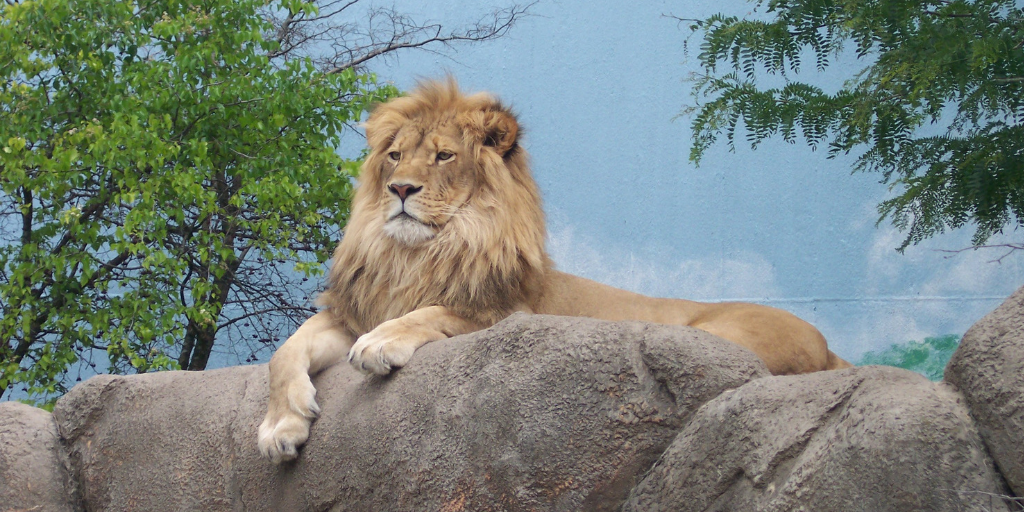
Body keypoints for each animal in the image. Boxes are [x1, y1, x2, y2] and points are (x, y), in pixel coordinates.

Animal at [257, 78, 851, 463]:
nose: (400, 189)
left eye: (445, 156)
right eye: (396, 156)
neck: (419, 254)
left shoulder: (501, 312)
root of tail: (828, 346)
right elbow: (285, 351)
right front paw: (280, 428)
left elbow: (430, 313)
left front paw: (380, 344)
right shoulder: (355, 310)